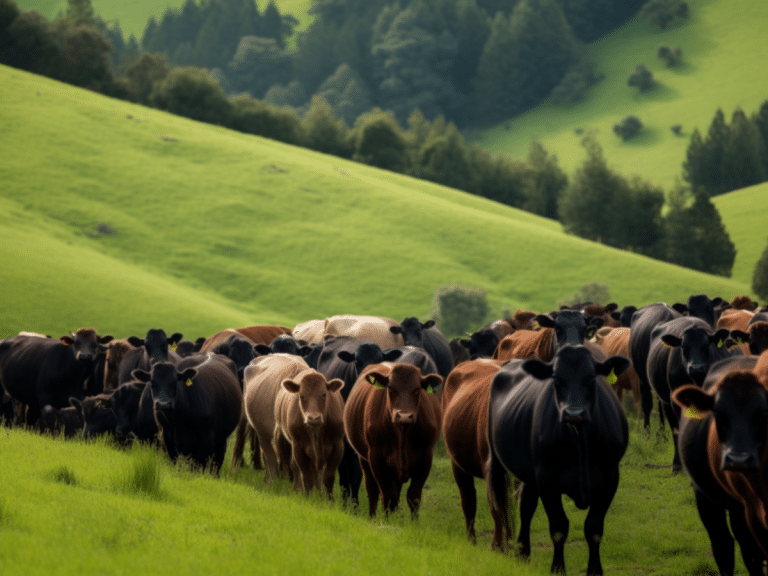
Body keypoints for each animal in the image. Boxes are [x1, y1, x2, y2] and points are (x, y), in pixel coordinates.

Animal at [273, 369, 345, 498]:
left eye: (324, 394)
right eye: (301, 396)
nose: (313, 418)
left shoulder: (338, 445)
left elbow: (328, 478)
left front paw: (328, 500)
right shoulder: (298, 446)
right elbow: (306, 477)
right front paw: (307, 498)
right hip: (280, 436)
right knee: (290, 467)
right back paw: (297, 490)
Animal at [343, 362, 442, 518]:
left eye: (417, 390)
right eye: (390, 388)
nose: (404, 415)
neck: (402, 434)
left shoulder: (426, 456)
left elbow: (413, 496)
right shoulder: (376, 457)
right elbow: (388, 494)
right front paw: (387, 520)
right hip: (363, 458)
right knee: (372, 489)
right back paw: (372, 517)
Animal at [441, 358, 506, 543]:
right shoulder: (489, 468)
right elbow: (496, 508)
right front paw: (498, 545)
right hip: (457, 463)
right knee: (468, 498)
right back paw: (472, 540)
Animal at [487, 345, 630, 575]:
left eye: (591, 377)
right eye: (556, 378)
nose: (574, 413)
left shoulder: (610, 478)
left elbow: (594, 528)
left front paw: (595, 570)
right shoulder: (548, 478)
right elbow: (559, 527)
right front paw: (557, 568)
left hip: (530, 475)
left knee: (526, 506)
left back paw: (523, 552)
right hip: (498, 463)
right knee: (504, 506)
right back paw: (508, 547)